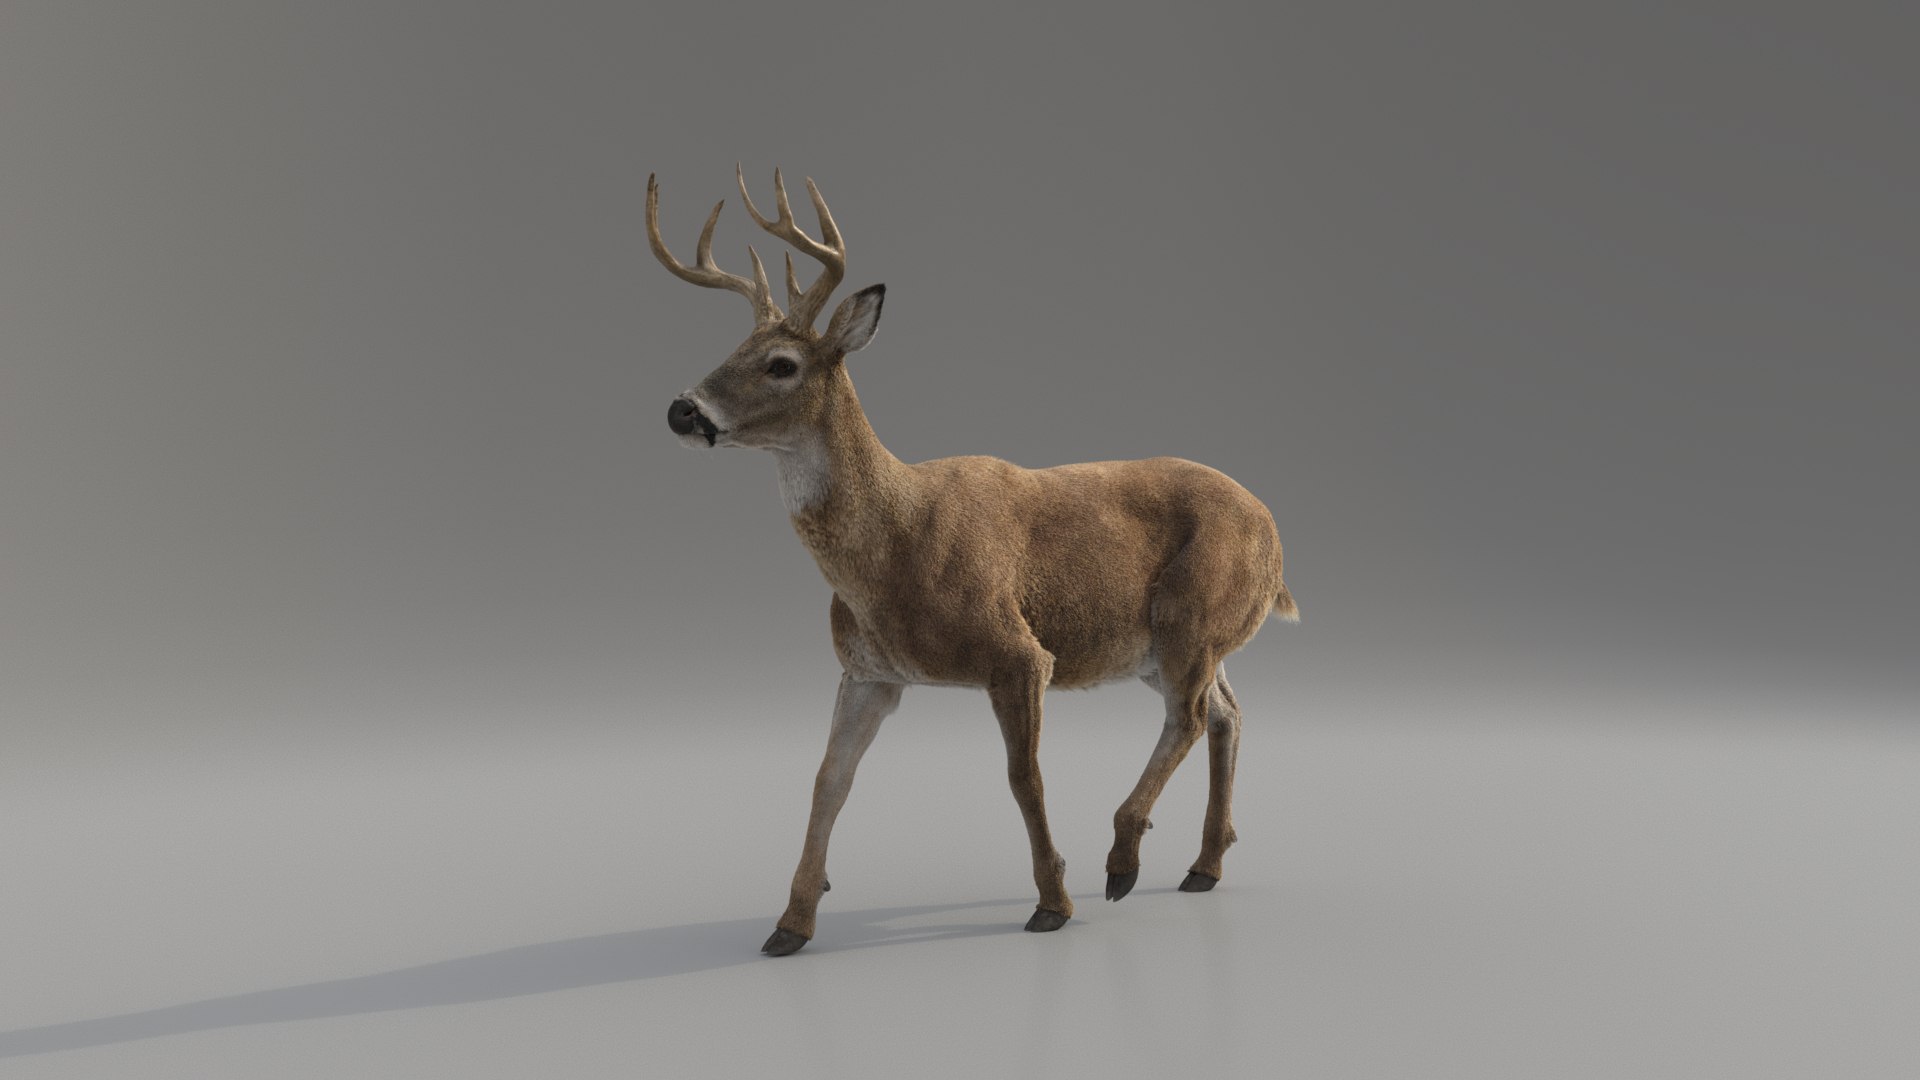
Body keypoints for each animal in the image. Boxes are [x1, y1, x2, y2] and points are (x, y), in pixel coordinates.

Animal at [648, 167, 1297, 956]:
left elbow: (1025, 777)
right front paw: (791, 924)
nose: (683, 410)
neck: (892, 546)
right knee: (1225, 711)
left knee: (1193, 715)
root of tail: (1274, 534)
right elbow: (828, 782)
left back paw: (1122, 862)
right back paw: (1202, 866)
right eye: (732, 349)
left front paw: (1052, 901)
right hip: (1162, 644)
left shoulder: (1018, 654)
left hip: (1190, 615)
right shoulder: (866, 672)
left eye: (781, 364)